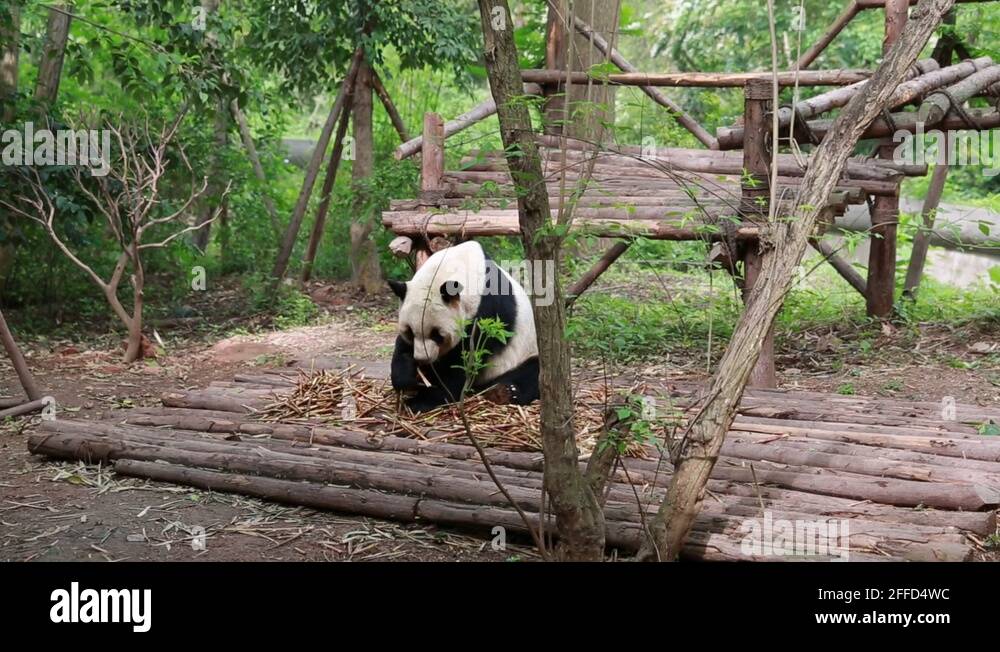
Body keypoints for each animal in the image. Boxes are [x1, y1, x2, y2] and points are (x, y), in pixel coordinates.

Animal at [387, 240, 540, 413]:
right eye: (410, 332)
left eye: (437, 335)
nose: (422, 359)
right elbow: (402, 347)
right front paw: (407, 378)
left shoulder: (489, 314)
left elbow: (462, 364)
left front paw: (420, 401)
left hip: (525, 352)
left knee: (531, 373)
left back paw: (506, 391)